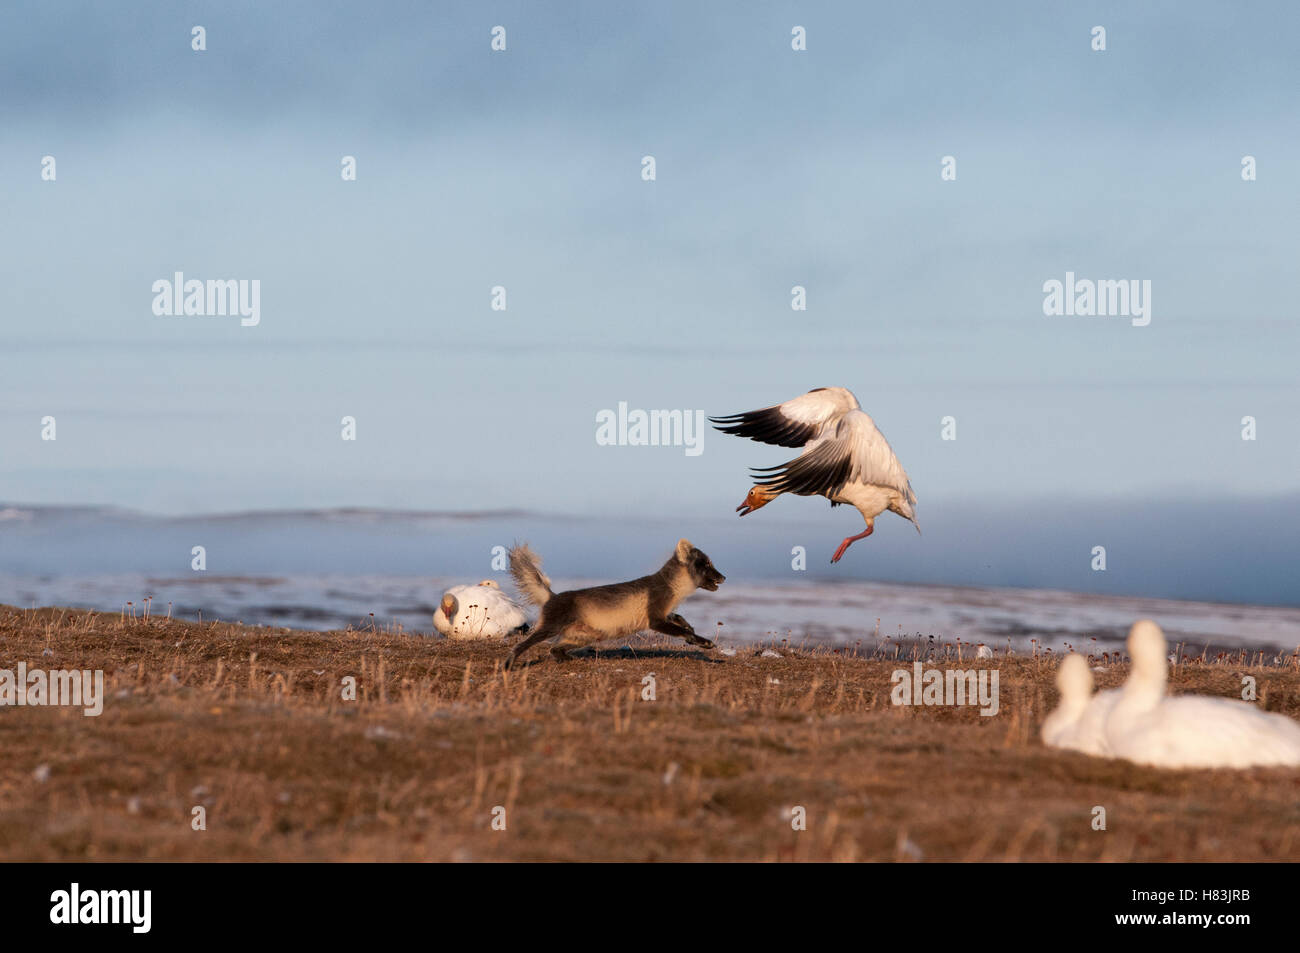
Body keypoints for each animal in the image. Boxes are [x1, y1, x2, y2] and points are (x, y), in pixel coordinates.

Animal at [503, 539, 726, 669]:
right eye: (707, 563)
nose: (724, 577)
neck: (672, 587)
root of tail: (552, 596)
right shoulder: (654, 619)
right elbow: (680, 630)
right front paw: (702, 641)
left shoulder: (664, 613)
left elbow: (679, 619)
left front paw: (692, 632)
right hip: (551, 627)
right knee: (521, 645)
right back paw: (508, 664)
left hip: (584, 637)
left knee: (554, 649)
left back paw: (567, 659)